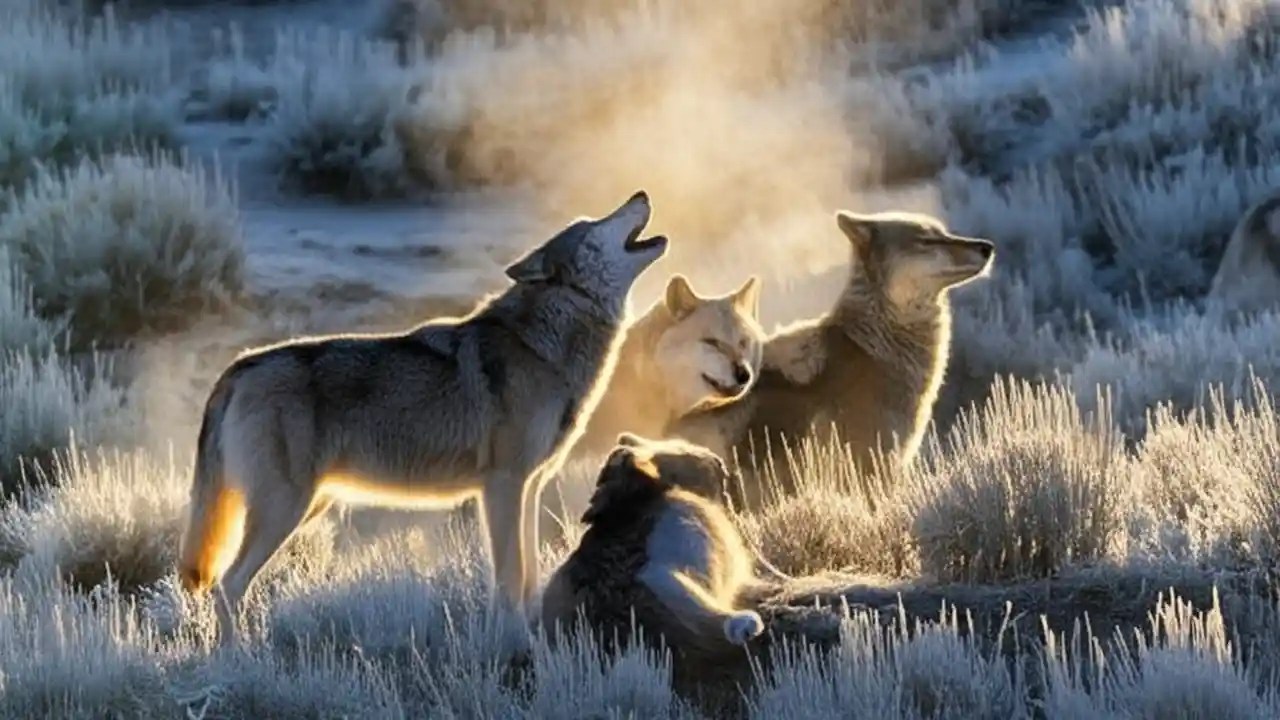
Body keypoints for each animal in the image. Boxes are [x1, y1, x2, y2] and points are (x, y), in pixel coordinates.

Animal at [177, 191, 668, 644]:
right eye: (593, 224)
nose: (642, 193)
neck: (542, 346)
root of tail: (241, 365)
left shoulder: (530, 487)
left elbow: (529, 578)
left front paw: (532, 638)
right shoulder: (503, 486)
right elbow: (510, 579)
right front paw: (511, 643)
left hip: (307, 505)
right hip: (285, 510)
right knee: (226, 587)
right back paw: (237, 660)